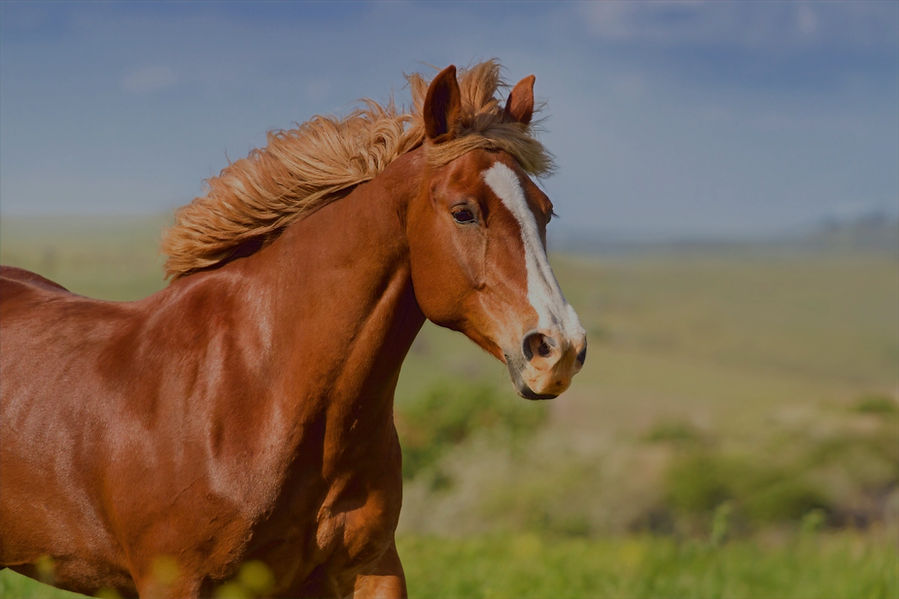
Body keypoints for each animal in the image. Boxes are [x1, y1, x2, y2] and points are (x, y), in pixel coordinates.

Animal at [0, 61, 586, 598]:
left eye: (546, 210)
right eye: (464, 212)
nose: (558, 351)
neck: (254, 394)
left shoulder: (368, 567)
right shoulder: (173, 581)